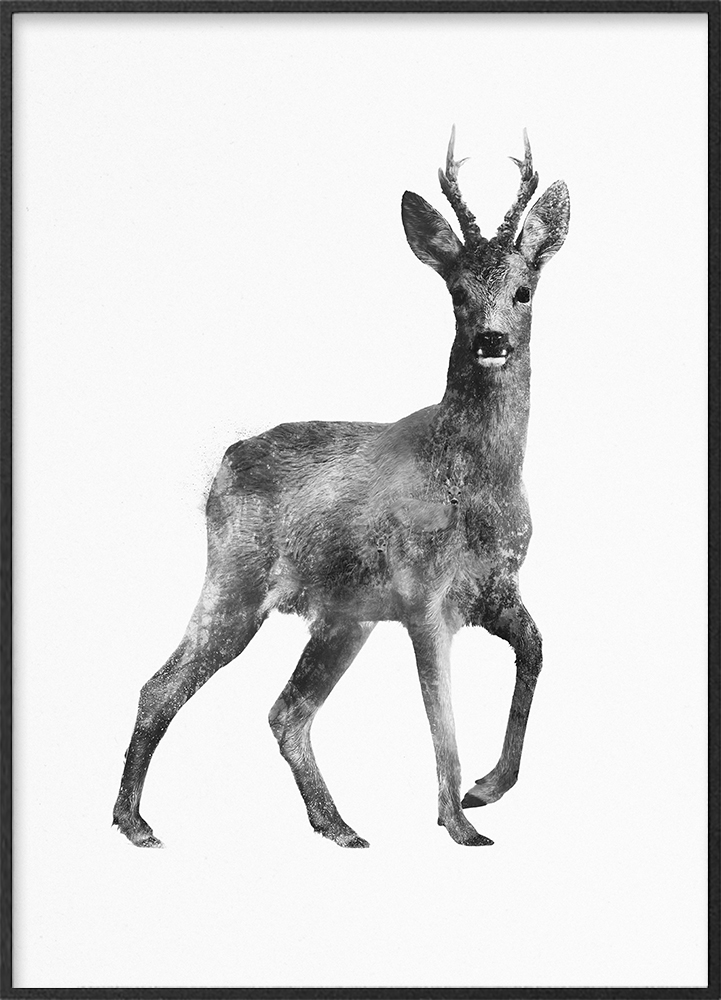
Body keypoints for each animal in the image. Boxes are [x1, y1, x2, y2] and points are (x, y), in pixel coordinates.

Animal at [112, 128, 569, 850]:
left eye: (524, 290)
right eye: (457, 292)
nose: (491, 340)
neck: (478, 484)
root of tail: (226, 462)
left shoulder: (495, 588)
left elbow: (536, 652)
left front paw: (486, 790)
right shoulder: (422, 596)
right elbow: (441, 714)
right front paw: (459, 822)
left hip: (341, 615)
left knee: (287, 711)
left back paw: (339, 827)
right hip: (236, 580)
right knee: (163, 688)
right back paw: (135, 825)